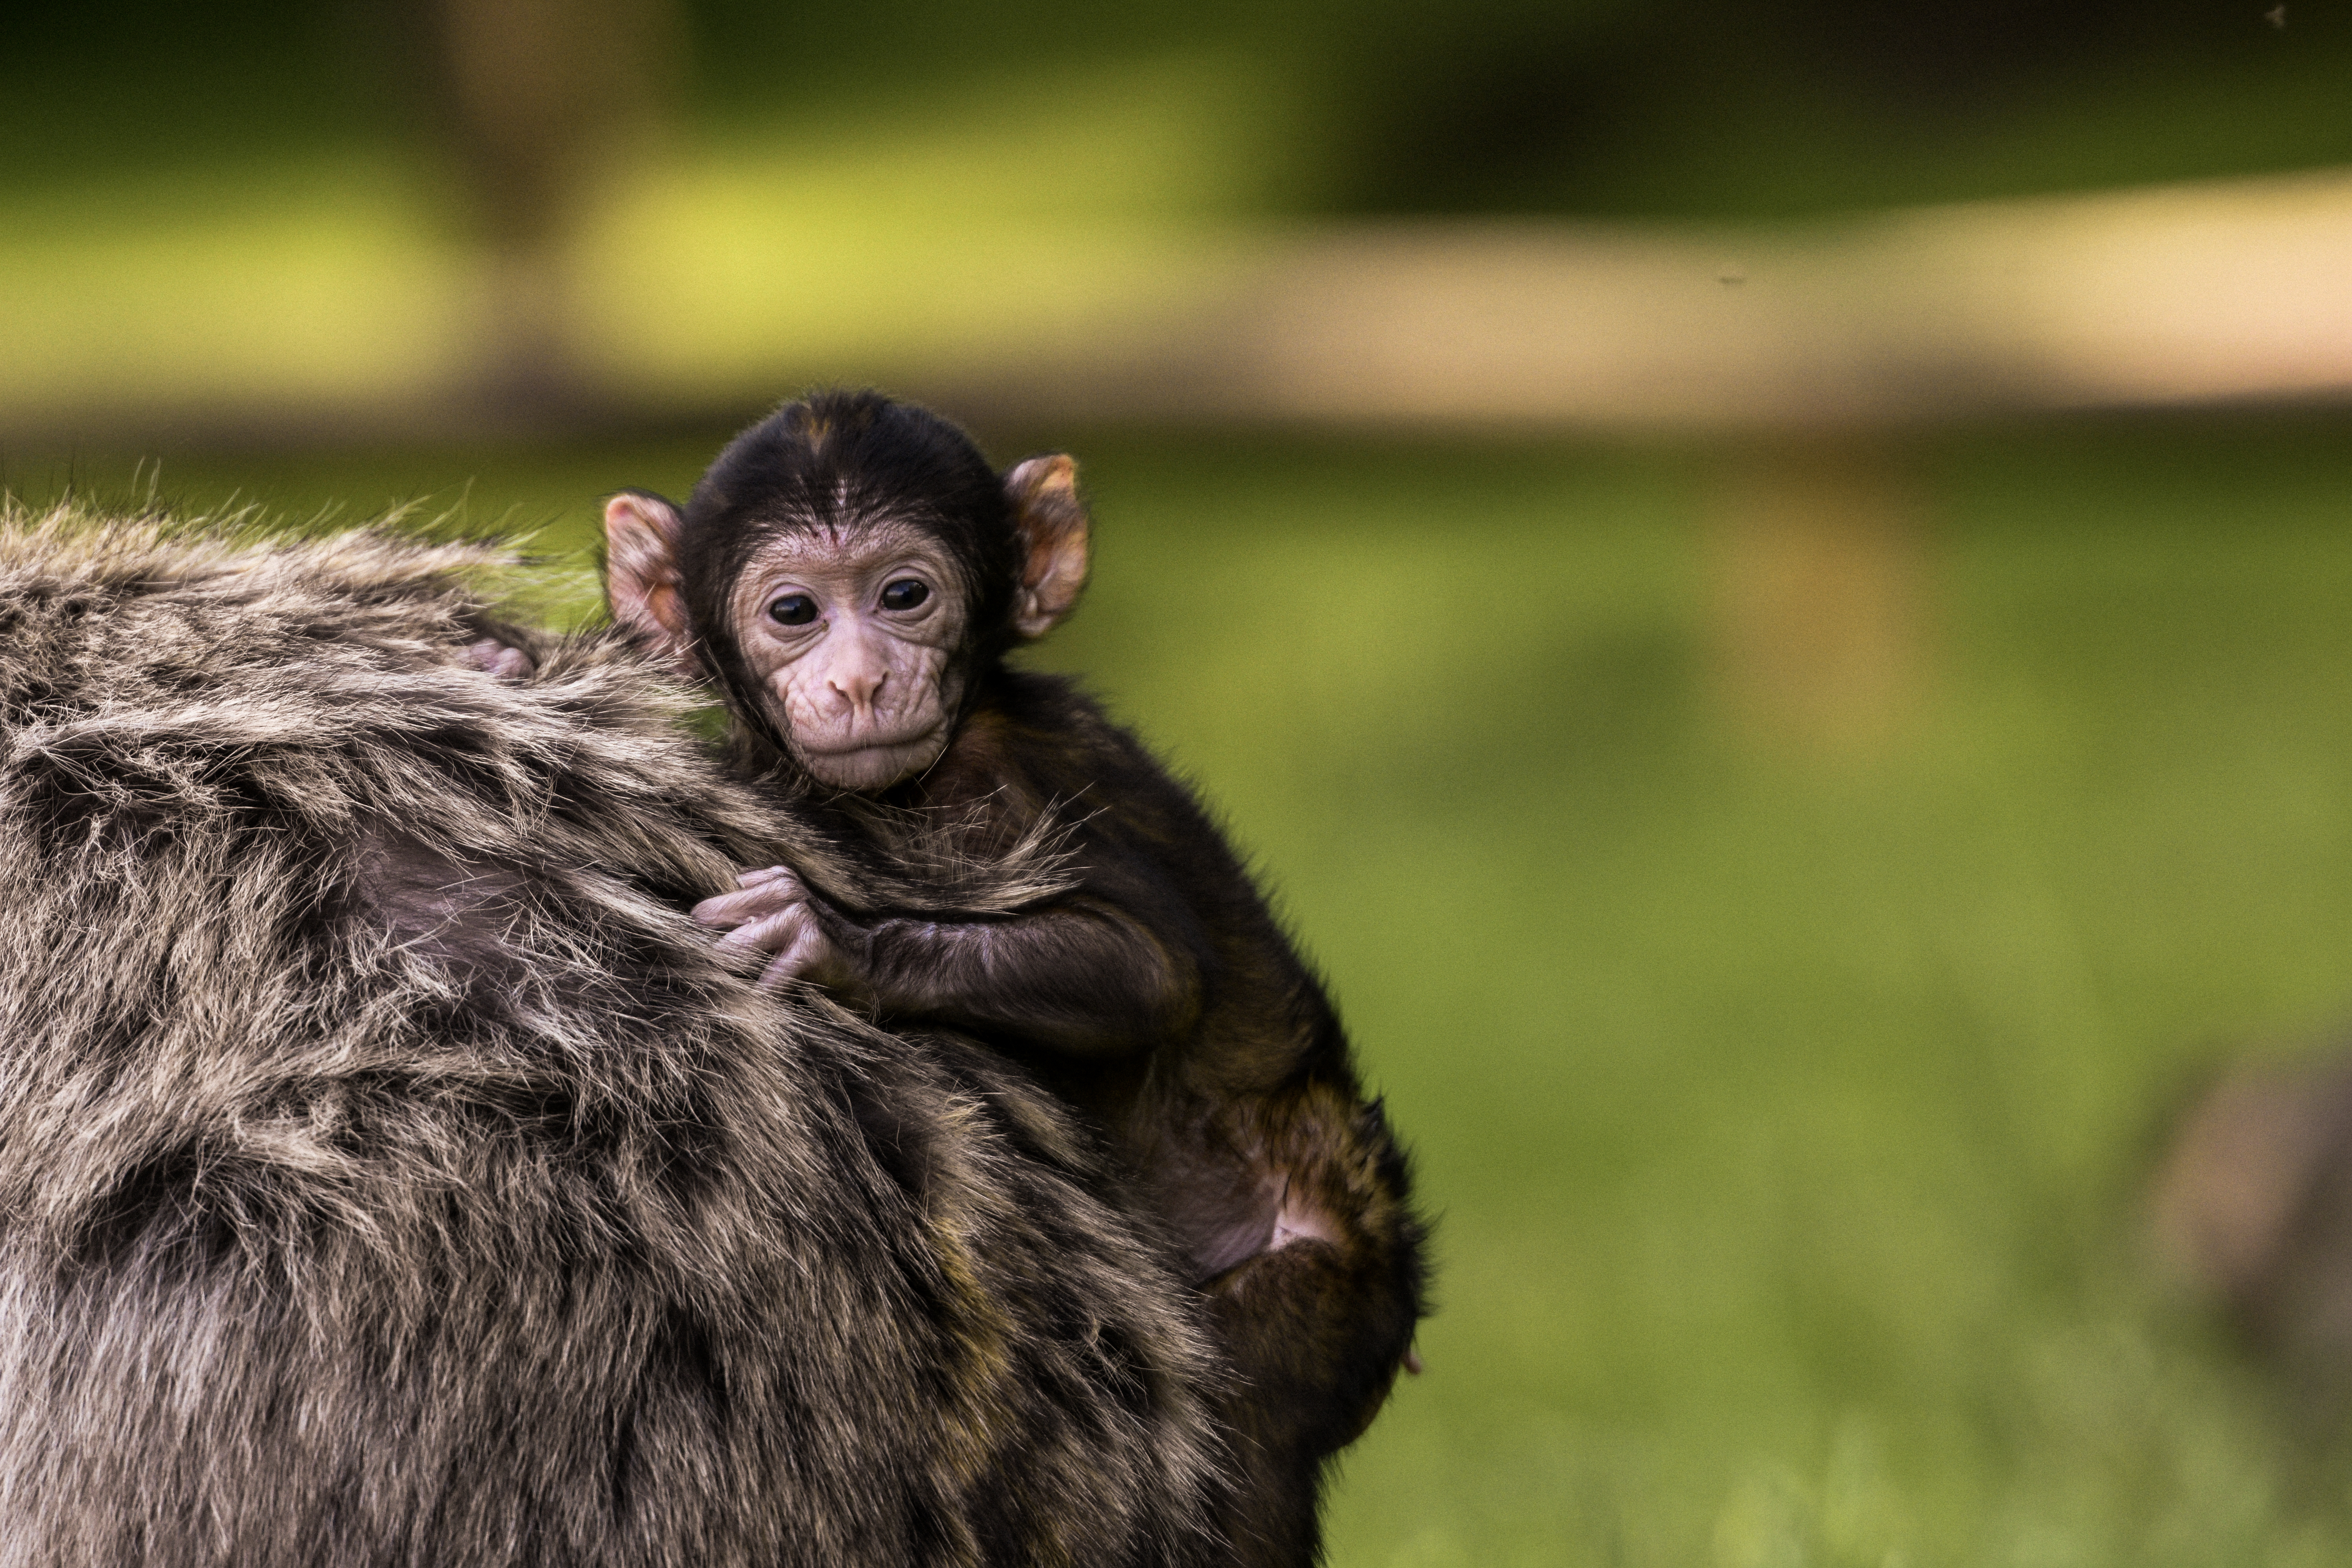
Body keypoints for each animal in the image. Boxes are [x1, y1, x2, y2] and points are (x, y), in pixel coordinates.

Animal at [594, 389, 1431, 1566]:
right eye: (795, 611)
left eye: (904, 595)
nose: (861, 676)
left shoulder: (1002, 786)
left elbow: (1145, 970)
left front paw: (836, 940)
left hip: (1319, 1275)